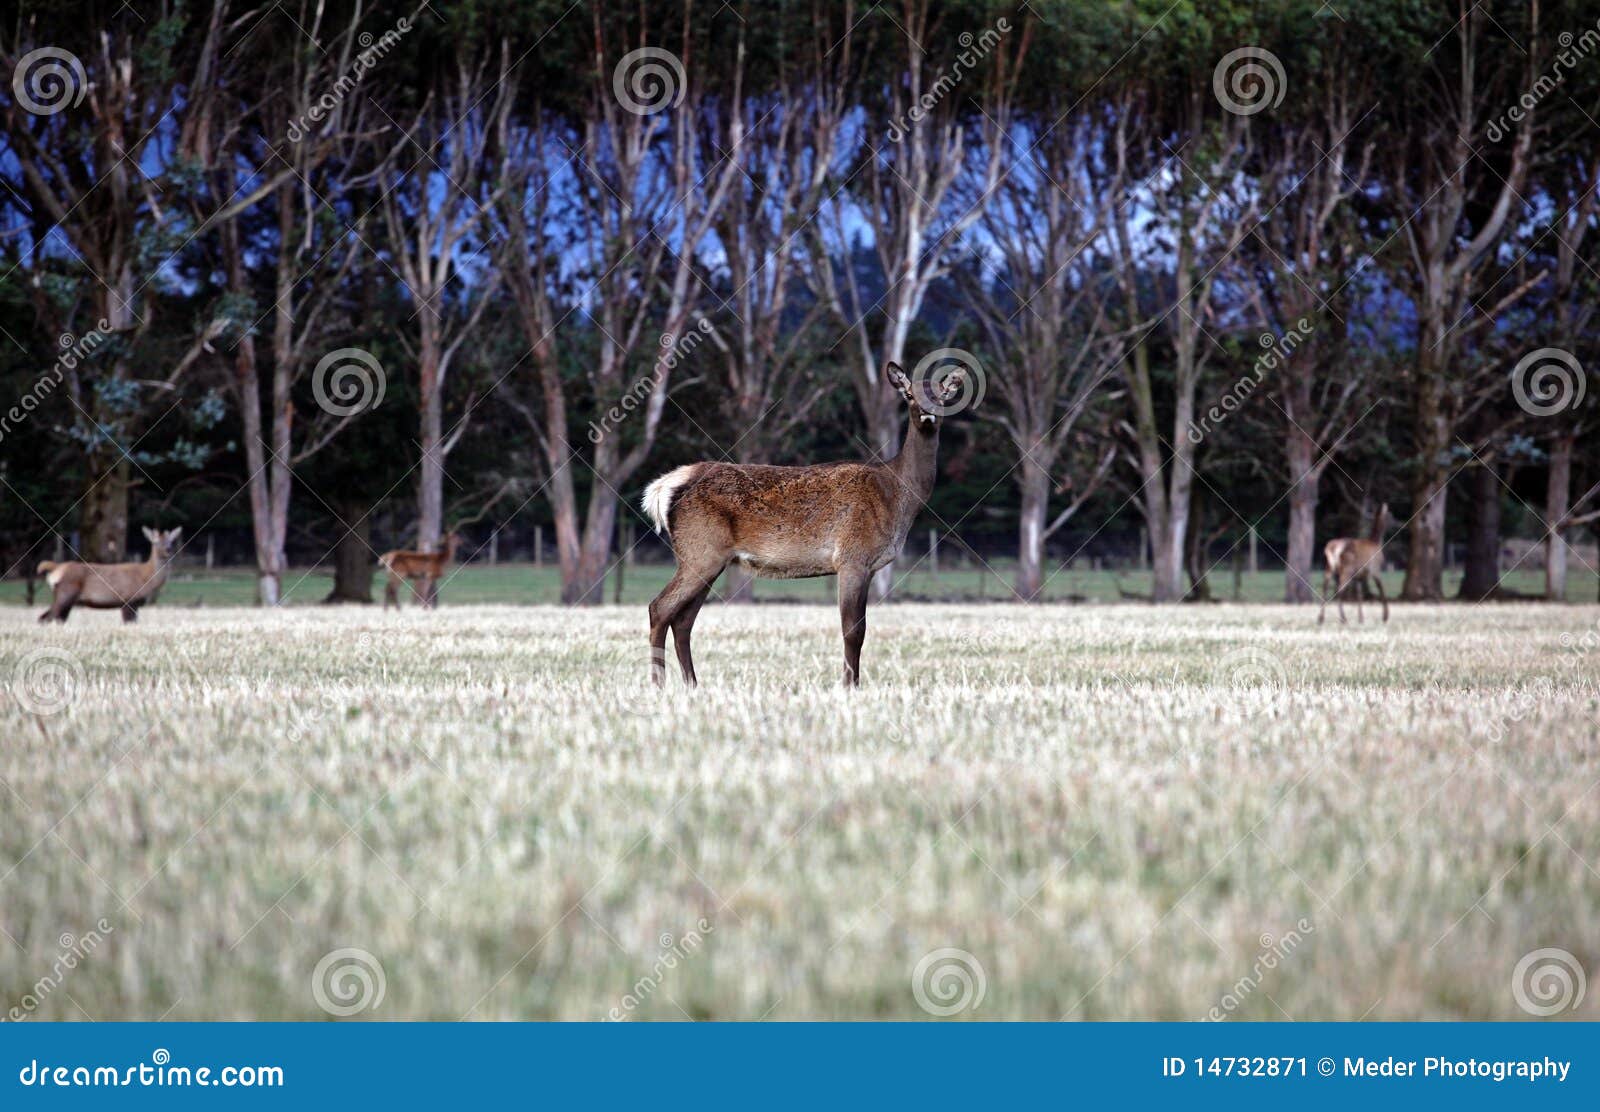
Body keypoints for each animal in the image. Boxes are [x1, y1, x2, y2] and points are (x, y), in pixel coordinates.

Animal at [37, 526, 183, 623]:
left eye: (171, 541)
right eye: (155, 541)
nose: (168, 549)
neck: (146, 578)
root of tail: (56, 568)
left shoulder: (135, 604)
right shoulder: (128, 598)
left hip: (67, 598)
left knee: (52, 618)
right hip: (65, 592)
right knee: (47, 617)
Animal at [641, 361, 966, 688]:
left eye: (941, 395)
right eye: (909, 395)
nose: (927, 414)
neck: (897, 495)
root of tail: (666, 486)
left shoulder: (869, 566)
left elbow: (859, 629)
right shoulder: (852, 557)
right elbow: (853, 631)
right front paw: (849, 687)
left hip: (708, 558)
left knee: (683, 620)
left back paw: (691, 685)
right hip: (700, 550)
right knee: (659, 607)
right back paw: (658, 684)